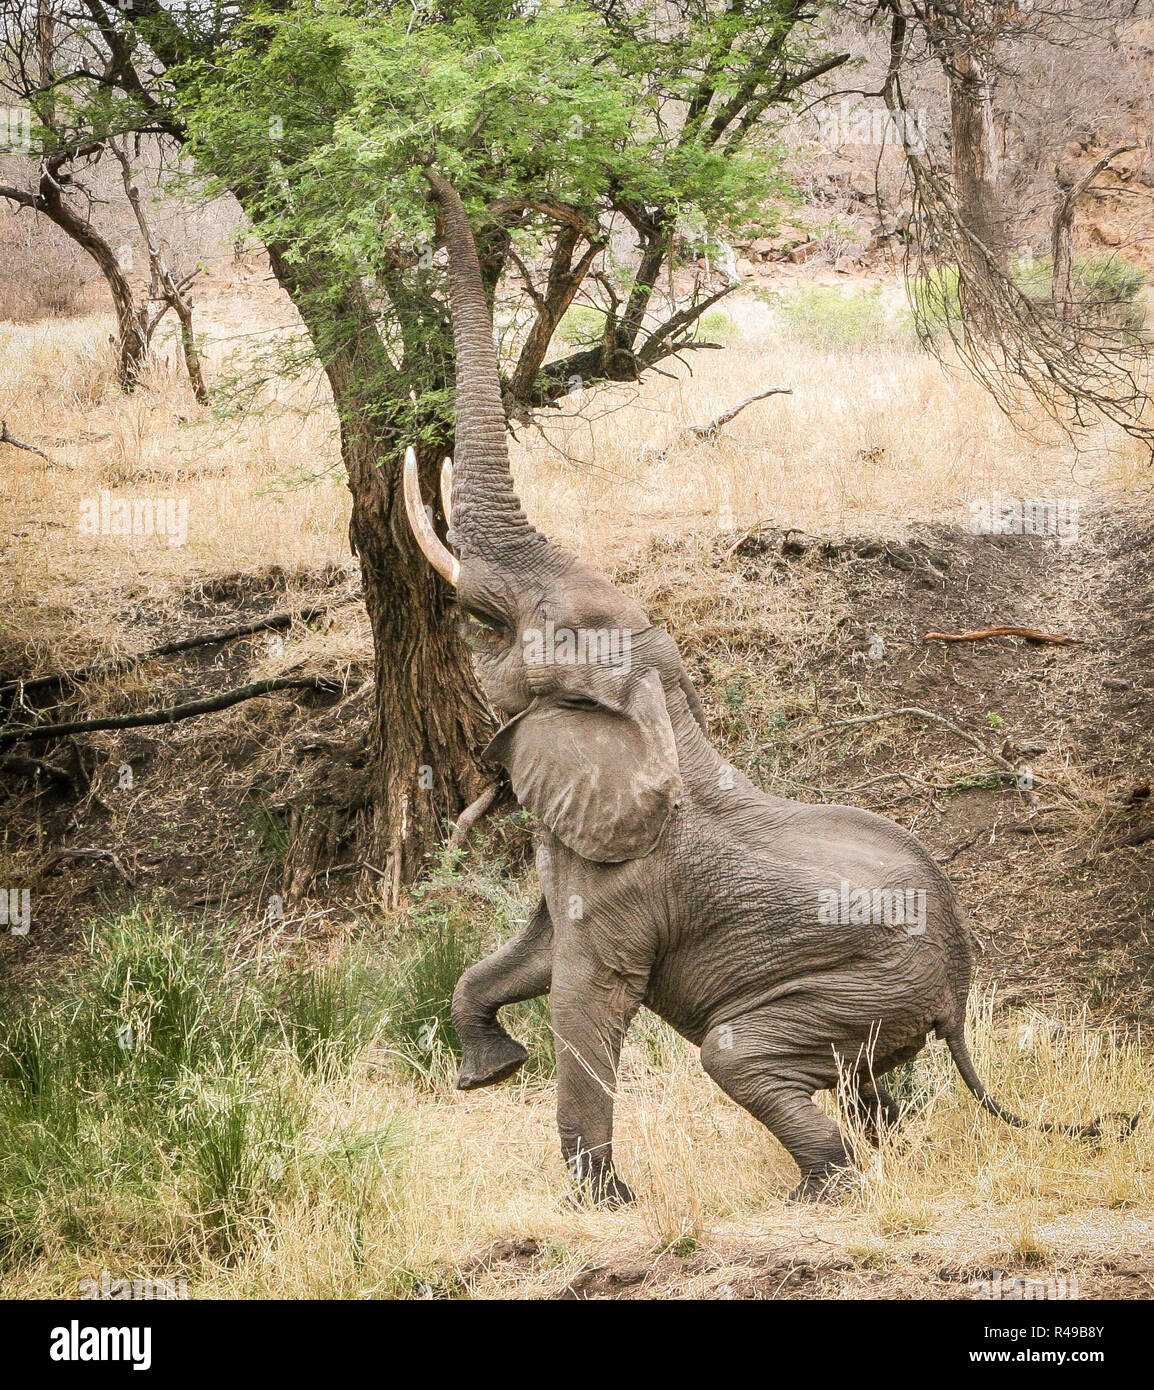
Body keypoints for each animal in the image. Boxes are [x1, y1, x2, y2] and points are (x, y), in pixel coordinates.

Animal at [403, 169, 1131, 1205]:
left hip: (858, 983)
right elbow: (521, 959)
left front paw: (603, 1207)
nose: (441, 177)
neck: (666, 710)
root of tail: (960, 989)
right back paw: (881, 1156)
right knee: (860, 1083)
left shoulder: (630, 882)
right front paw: (489, 1070)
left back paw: (819, 1194)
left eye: (518, 623)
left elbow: (584, 996)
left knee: (738, 1054)